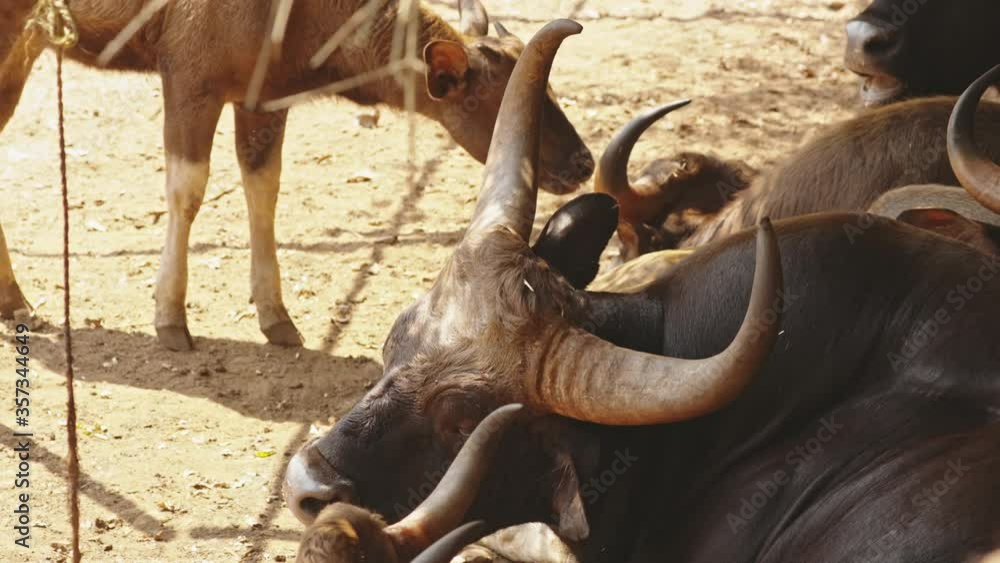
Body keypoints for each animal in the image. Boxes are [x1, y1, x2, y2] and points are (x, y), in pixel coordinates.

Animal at [0, 0, 593, 350]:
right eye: (505, 100)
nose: (583, 162)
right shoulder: (190, 75)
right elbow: (187, 190)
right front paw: (170, 319)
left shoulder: (262, 97)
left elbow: (264, 189)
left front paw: (277, 318)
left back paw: (16, 301)